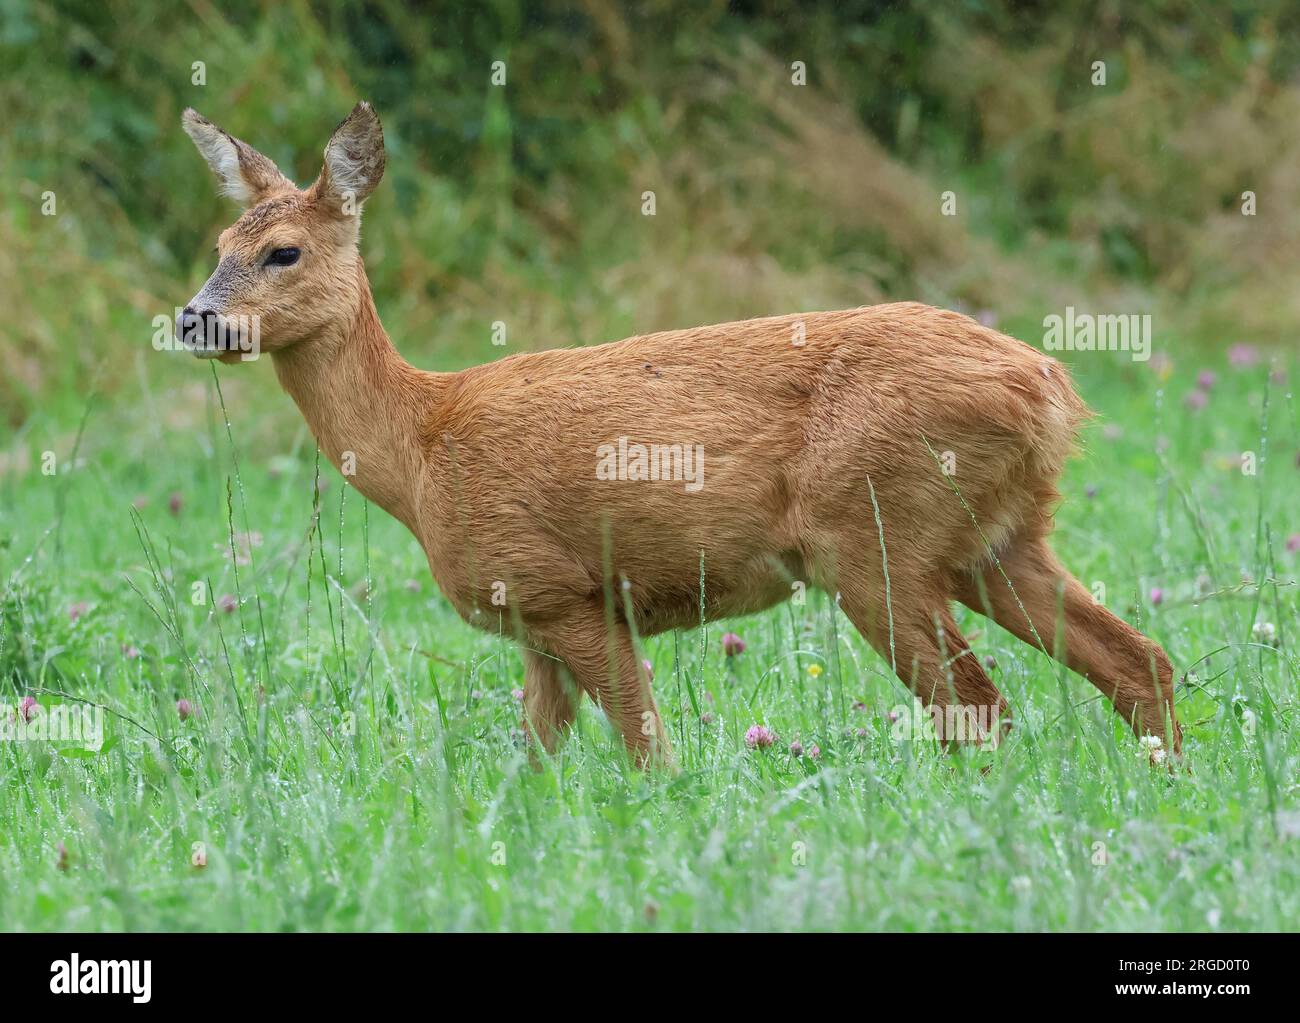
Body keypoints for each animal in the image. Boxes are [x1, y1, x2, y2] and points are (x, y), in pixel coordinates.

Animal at [177, 102, 1182, 768]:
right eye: (219, 243)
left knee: (982, 707)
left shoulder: (561, 590)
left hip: (875, 533)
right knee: (1138, 661)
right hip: (997, 536)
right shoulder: (533, 619)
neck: (421, 446)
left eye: (283, 252)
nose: (193, 318)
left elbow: (647, 749)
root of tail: (1050, 387)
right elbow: (536, 761)